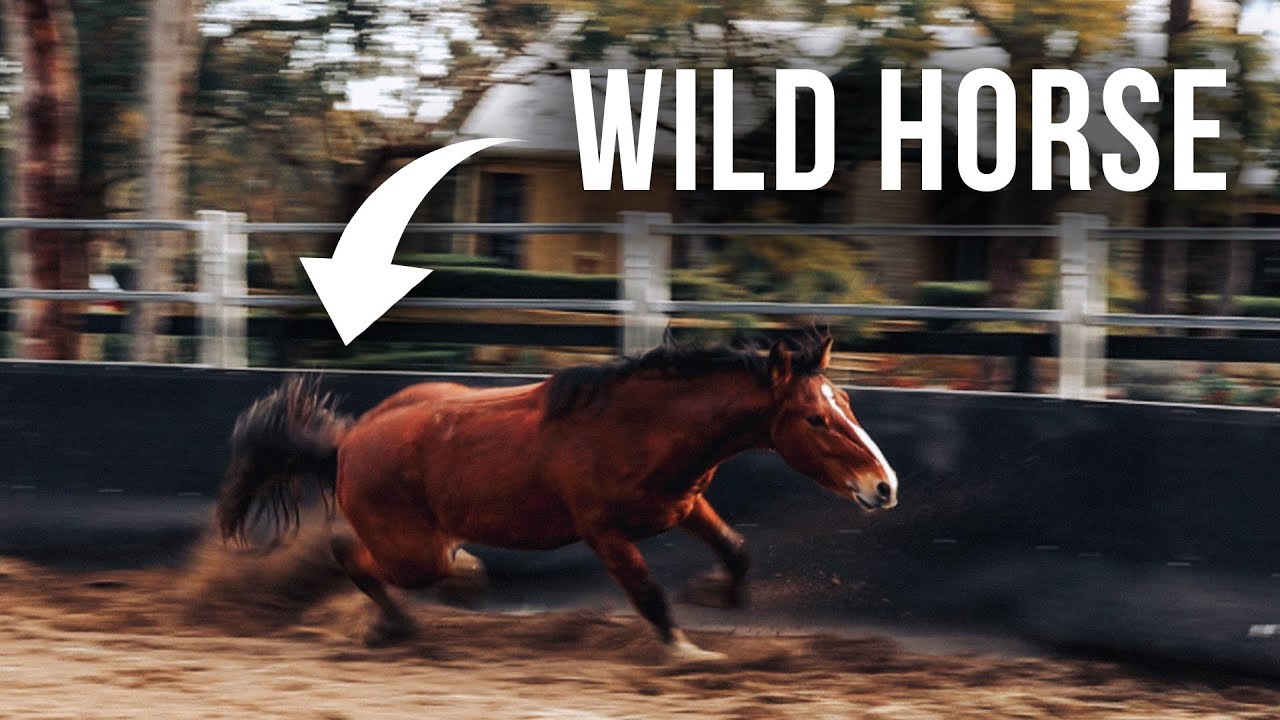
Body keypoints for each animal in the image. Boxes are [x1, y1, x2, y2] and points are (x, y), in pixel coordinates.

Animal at [215, 333, 898, 660]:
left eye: (847, 401)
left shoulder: (682, 506)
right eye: (816, 418)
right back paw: (399, 621)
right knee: (348, 552)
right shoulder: (604, 533)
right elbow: (648, 594)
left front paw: (714, 595)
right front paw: (688, 652)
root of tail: (348, 442)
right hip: (409, 551)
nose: (884, 485)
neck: (641, 426)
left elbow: (737, 550)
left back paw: (455, 582)